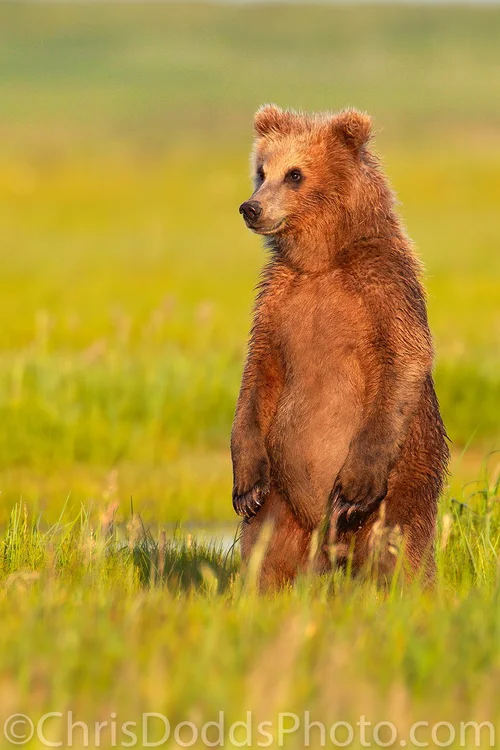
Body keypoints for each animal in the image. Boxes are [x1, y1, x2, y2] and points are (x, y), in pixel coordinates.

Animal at [231, 105, 449, 589]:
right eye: (262, 171)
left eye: (295, 174)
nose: (251, 207)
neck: (321, 259)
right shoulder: (277, 299)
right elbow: (257, 375)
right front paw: (245, 486)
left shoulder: (384, 287)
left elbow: (405, 358)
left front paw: (354, 489)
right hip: (284, 500)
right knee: (264, 551)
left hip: (405, 484)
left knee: (397, 551)